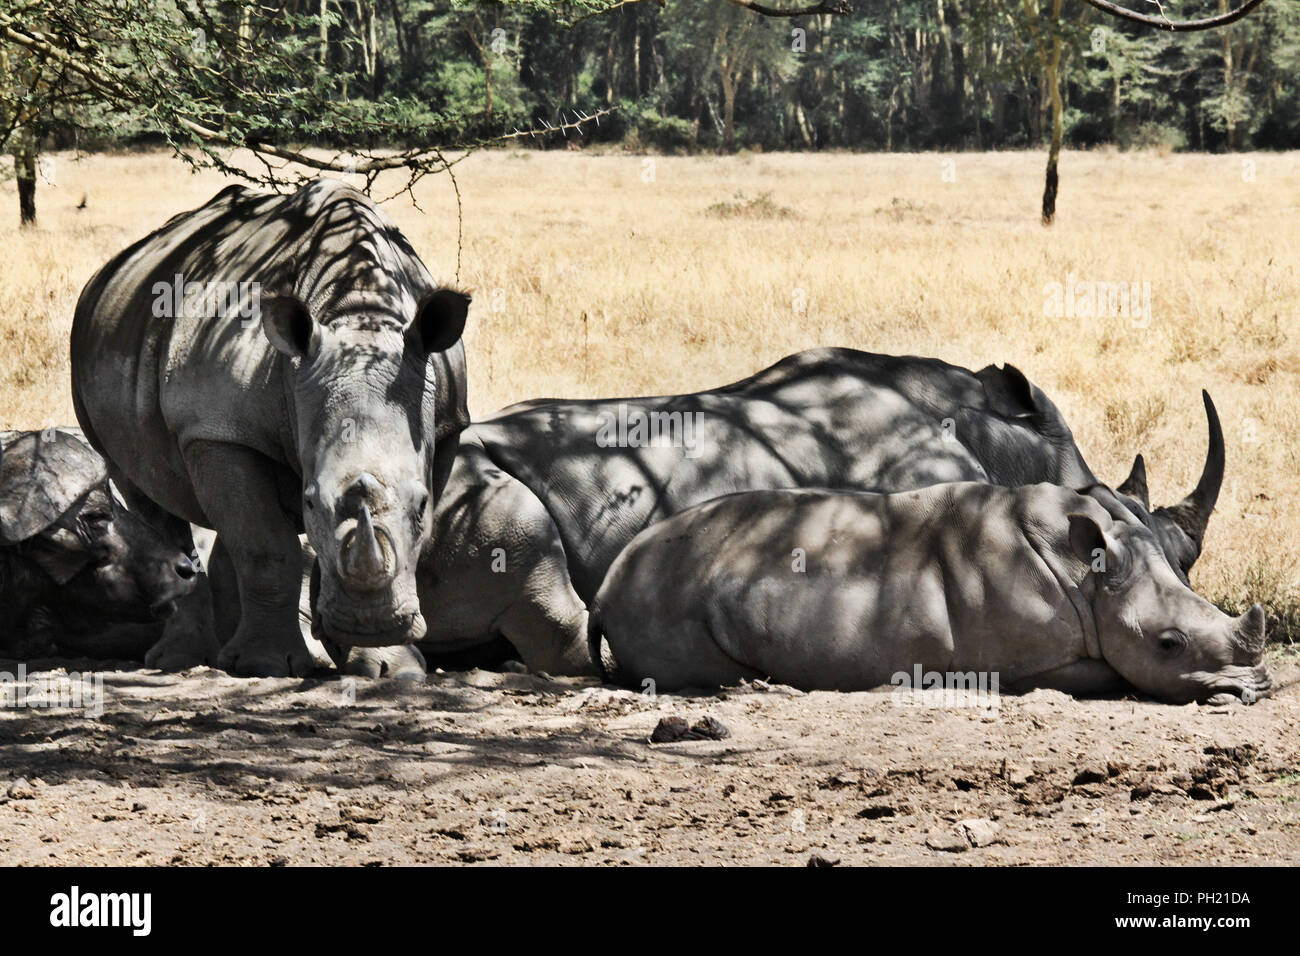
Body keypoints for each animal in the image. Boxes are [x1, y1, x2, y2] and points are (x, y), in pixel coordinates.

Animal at [70, 180, 470, 677]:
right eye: (310, 501)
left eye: (421, 504)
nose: (370, 625)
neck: (359, 317)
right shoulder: (216, 427)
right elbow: (265, 545)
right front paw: (266, 665)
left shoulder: (446, 422)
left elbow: (416, 537)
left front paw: (388, 667)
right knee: (147, 492)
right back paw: (185, 659)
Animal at [589, 482, 1271, 705]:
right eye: (1168, 644)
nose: (1259, 688)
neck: (1088, 573)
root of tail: (603, 588)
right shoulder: (1031, 664)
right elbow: (1110, 674)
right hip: (658, 595)